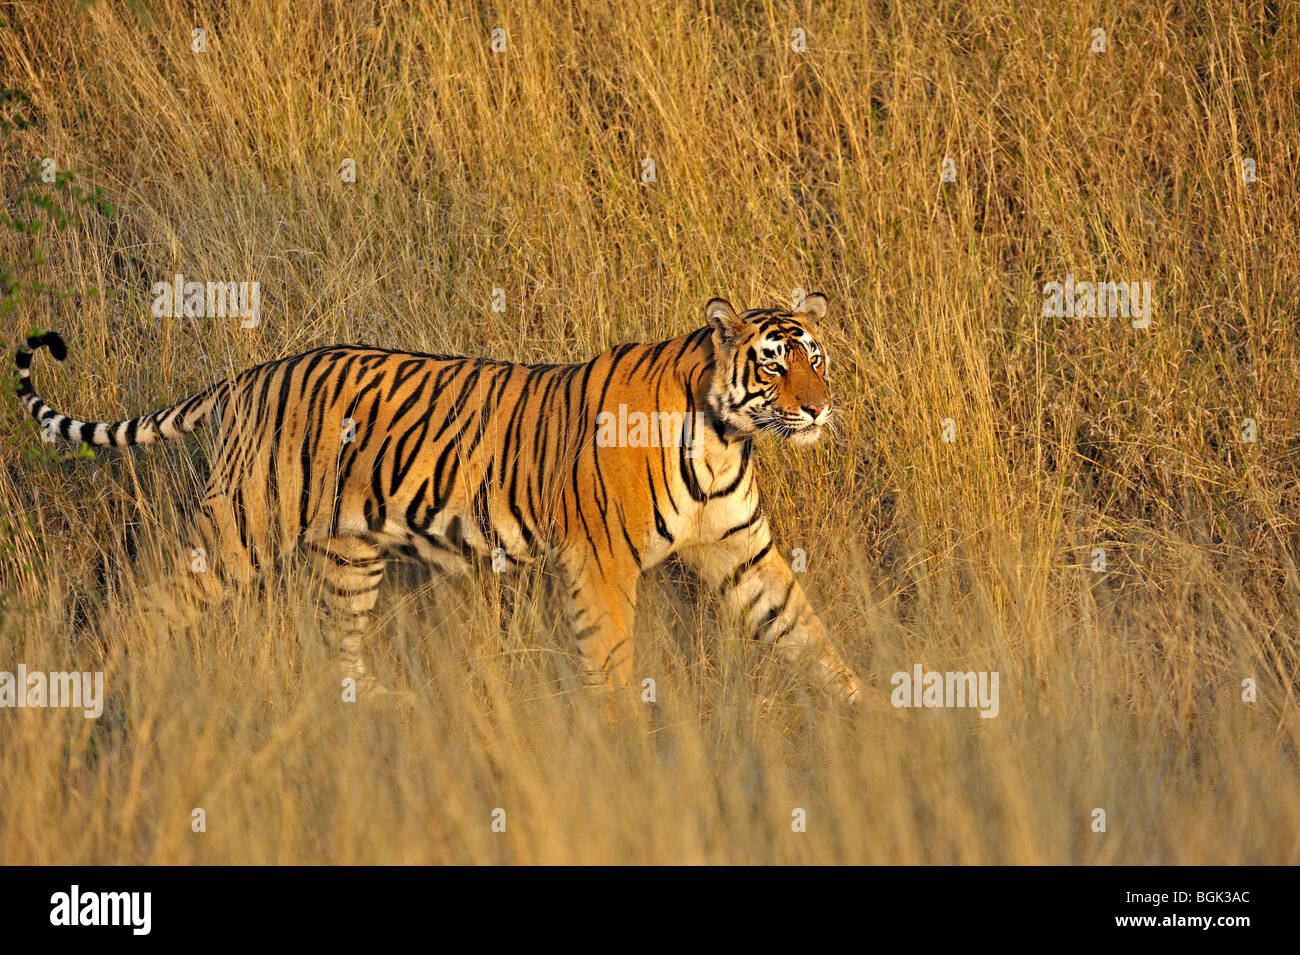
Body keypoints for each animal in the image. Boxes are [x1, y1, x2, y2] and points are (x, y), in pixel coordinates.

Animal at [13, 293, 863, 704]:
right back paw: (102, 693)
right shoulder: (601, 563)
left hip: (349, 559)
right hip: (238, 528)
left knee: (339, 649)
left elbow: (807, 632)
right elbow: (613, 657)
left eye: (815, 358)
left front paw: (868, 718)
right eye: (774, 364)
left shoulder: (742, 550)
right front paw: (625, 739)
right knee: (139, 609)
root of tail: (249, 374)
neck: (726, 437)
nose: (820, 407)